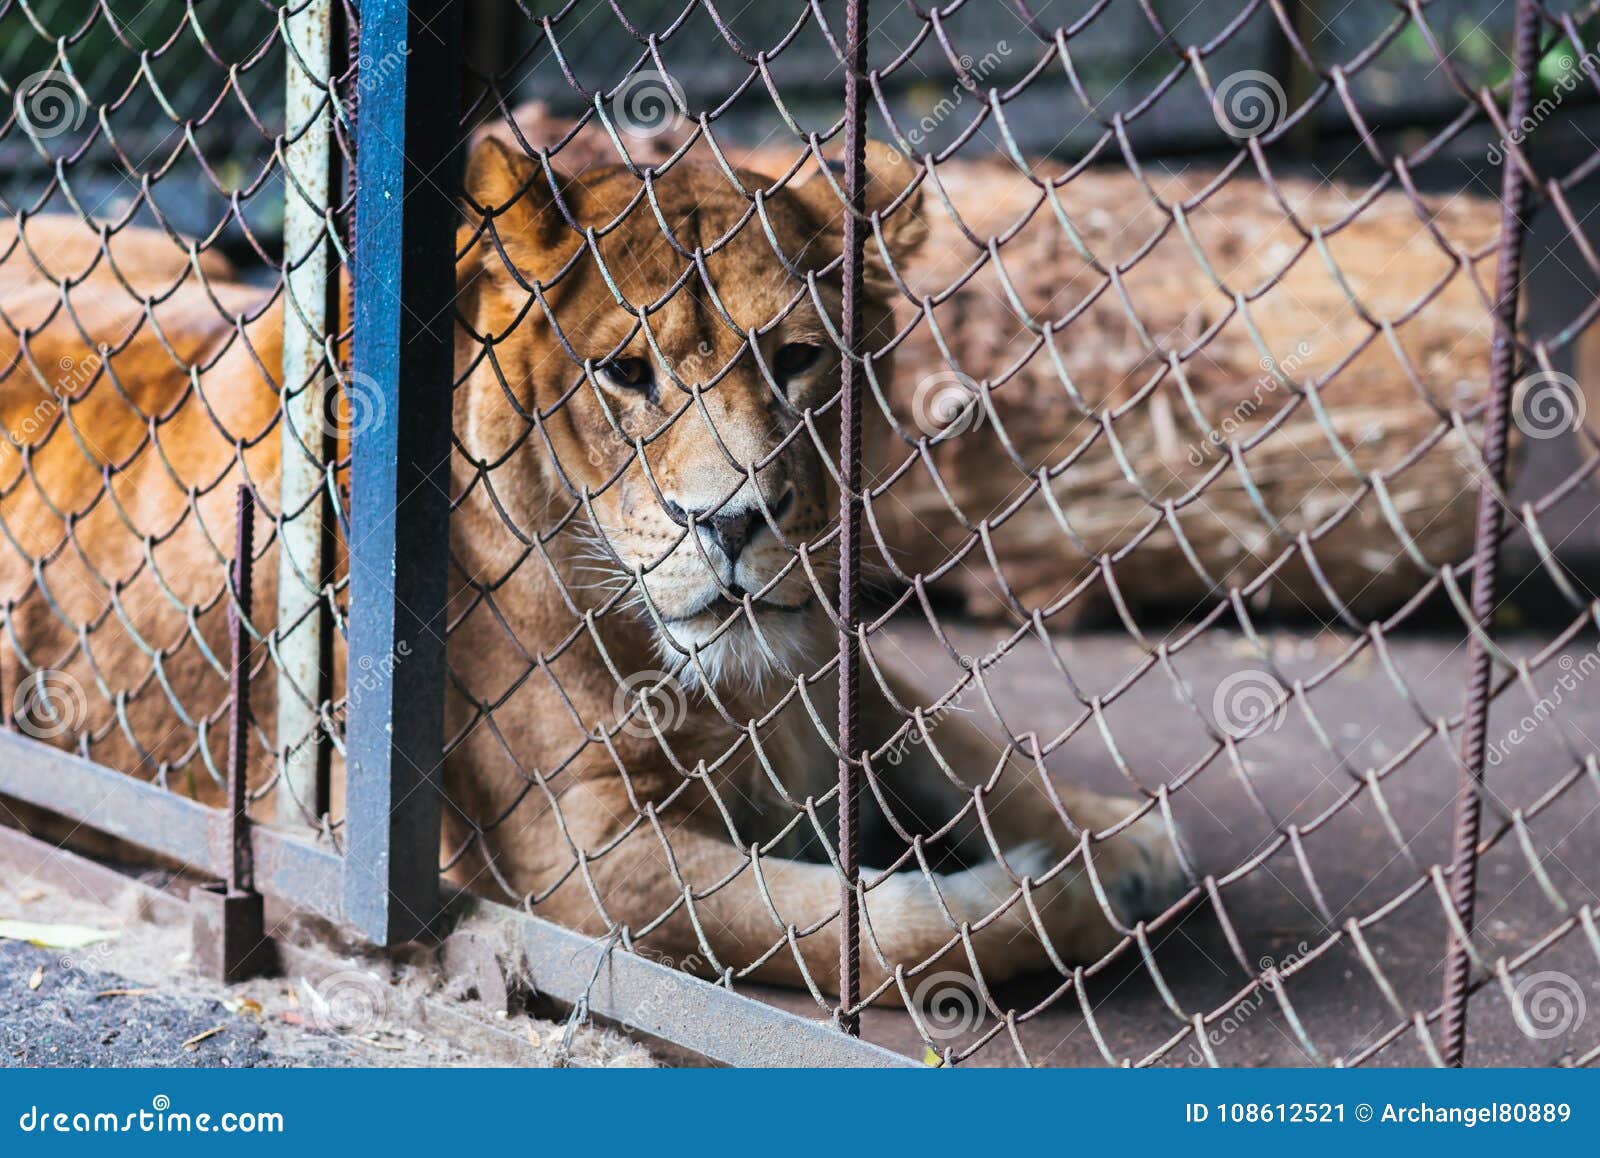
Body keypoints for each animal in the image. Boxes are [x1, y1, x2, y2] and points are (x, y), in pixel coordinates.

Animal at [0, 136, 1185, 998]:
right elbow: (862, 926)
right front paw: (1069, 900)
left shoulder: (825, 663)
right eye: (626, 373)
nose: (732, 522)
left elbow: (965, 745)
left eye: (799, 358)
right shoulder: (572, 857)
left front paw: (1119, 838)